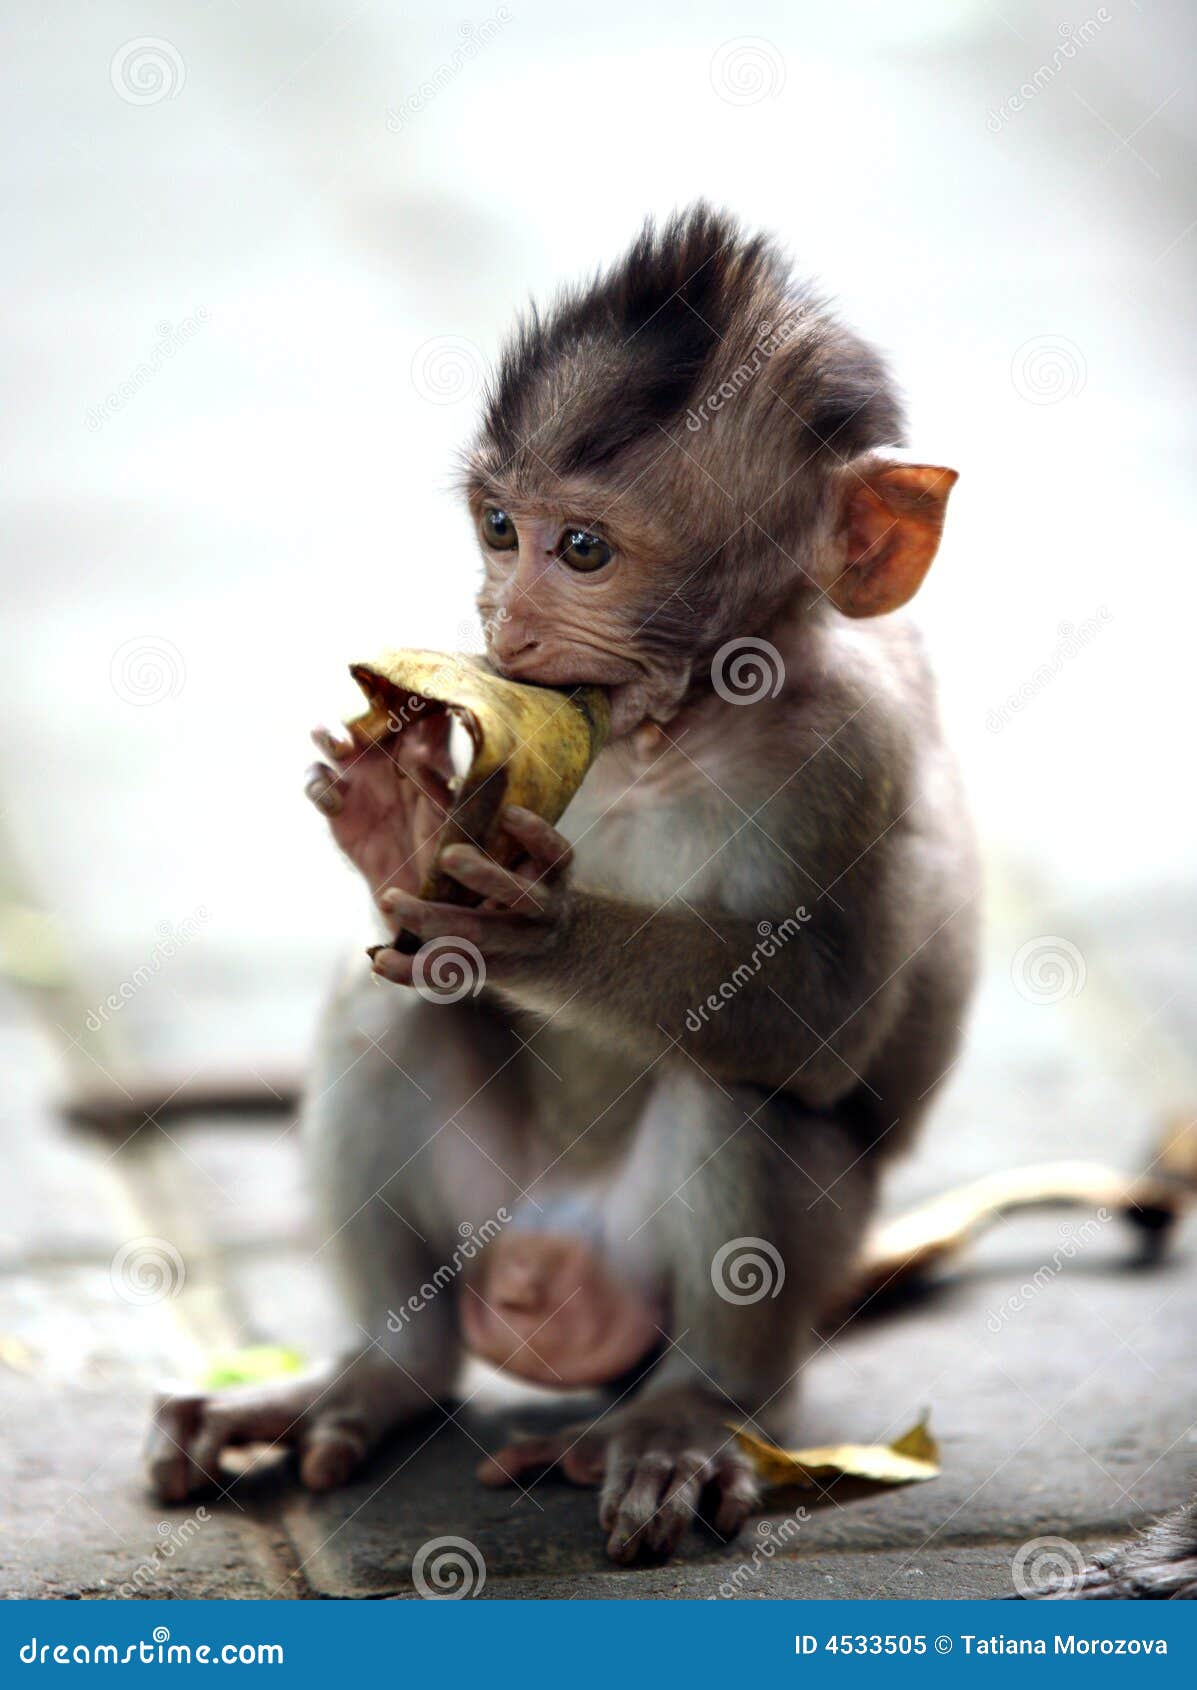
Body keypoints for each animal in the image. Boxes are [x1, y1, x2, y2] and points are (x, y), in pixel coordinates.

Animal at [147, 203, 982, 1567]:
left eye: (582, 549)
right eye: (499, 526)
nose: (507, 623)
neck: (671, 729)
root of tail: (556, 1263)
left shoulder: (848, 753)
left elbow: (821, 1026)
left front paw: (536, 932)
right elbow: (408, 954)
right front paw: (396, 830)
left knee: (737, 1093)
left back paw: (693, 1412)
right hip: (489, 1215)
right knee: (381, 1012)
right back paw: (378, 1376)